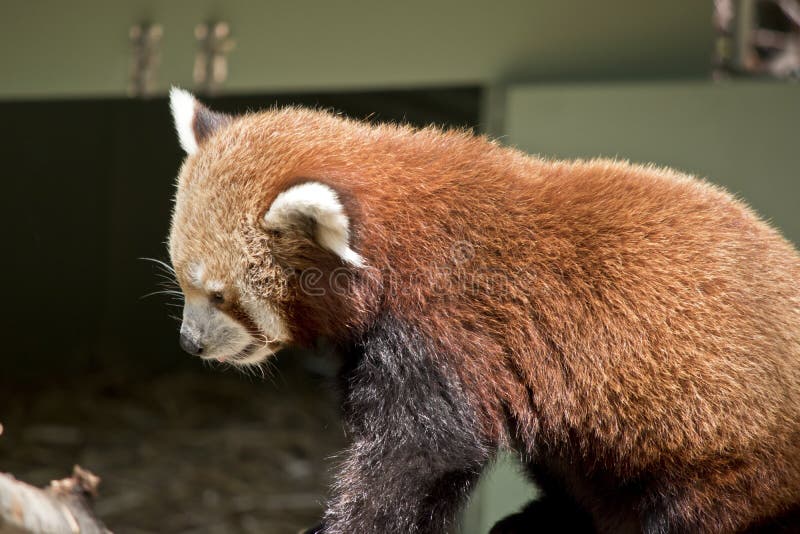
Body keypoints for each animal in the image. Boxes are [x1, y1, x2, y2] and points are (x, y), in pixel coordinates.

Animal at [166, 88, 800, 533]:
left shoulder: (444, 325)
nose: (189, 343)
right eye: (182, 282)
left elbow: (422, 454)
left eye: (219, 296)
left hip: (722, 457)